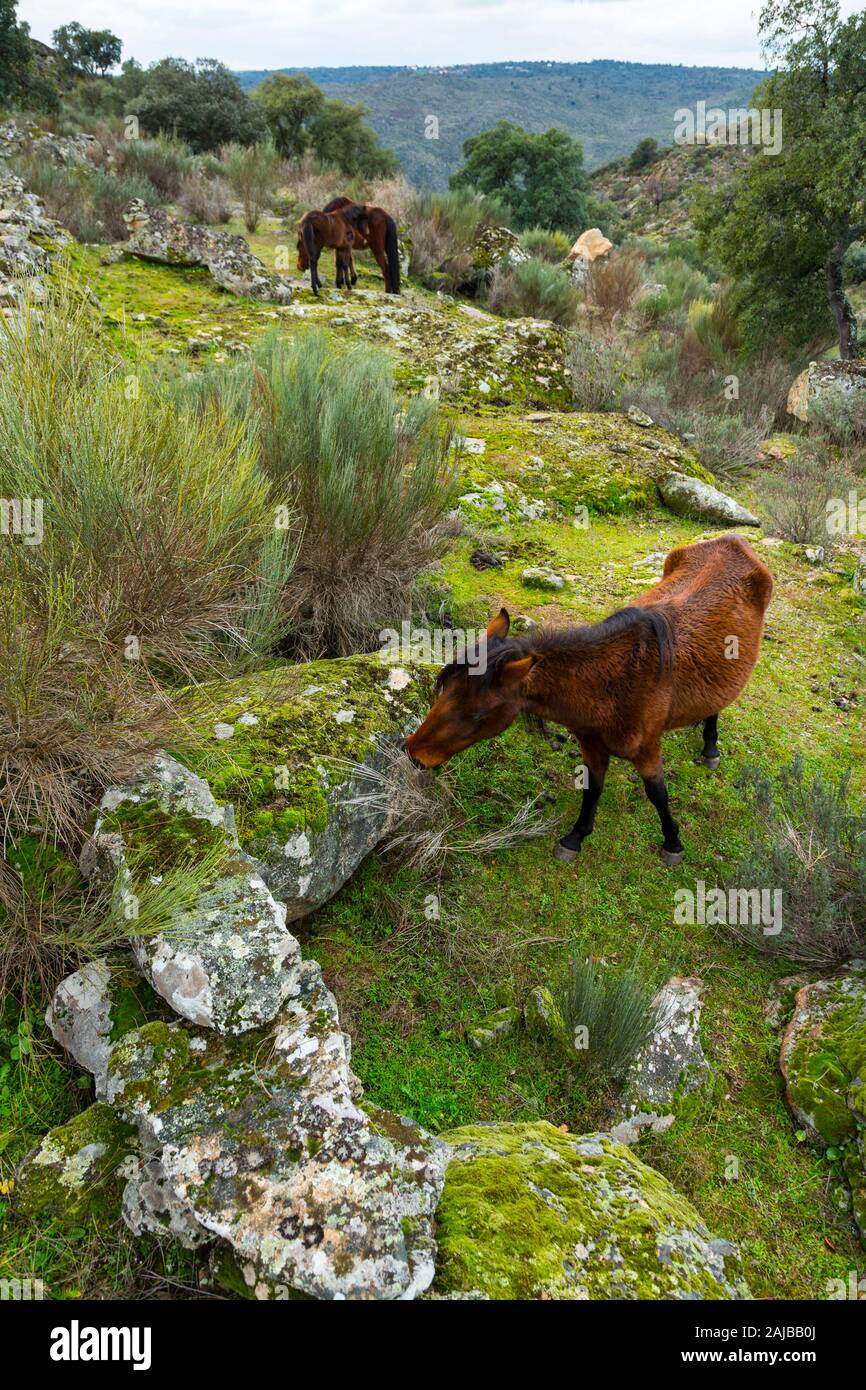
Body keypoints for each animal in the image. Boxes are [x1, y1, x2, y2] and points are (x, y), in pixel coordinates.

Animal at [404, 534, 773, 866]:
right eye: (444, 691)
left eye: (478, 715)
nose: (413, 753)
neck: (613, 684)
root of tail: (733, 540)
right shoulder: (591, 742)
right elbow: (592, 787)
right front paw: (576, 836)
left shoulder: (647, 749)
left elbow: (658, 793)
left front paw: (672, 841)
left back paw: (710, 747)